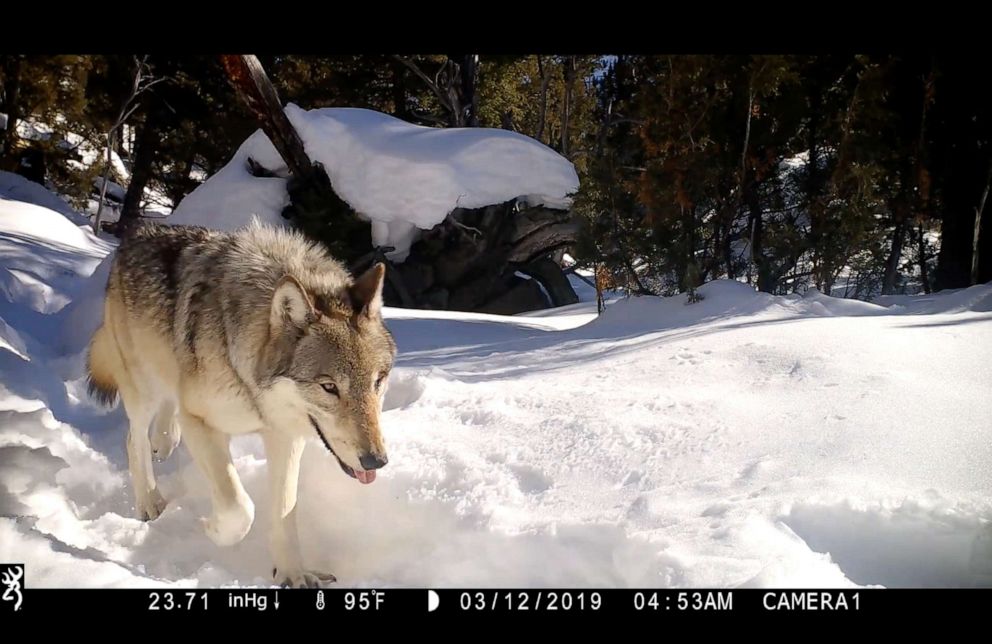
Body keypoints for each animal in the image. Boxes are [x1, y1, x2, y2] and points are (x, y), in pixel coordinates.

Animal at [86, 221, 396, 587]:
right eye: (329, 387)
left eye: (378, 382)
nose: (376, 461)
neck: (251, 385)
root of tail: (141, 230)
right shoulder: (201, 423)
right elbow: (240, 507)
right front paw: (213, 530)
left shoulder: (284, 437)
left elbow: (285, 512)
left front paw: (293, 575)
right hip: (143, 388)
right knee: (134, 439)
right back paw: (149, 501)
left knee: (164, 416)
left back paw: (164, 440)